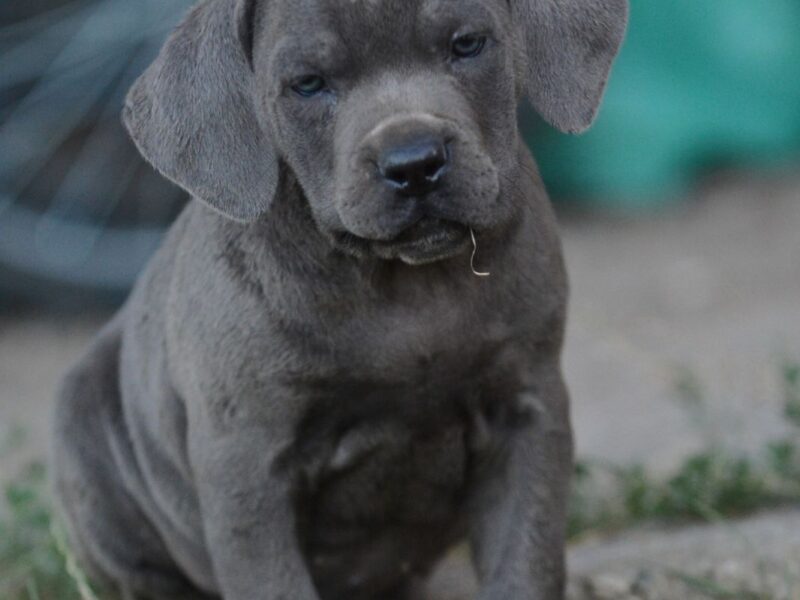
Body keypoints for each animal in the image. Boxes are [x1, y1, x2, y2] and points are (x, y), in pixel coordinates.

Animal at [50, 1, 628, 600]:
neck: (405, 283)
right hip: (85, 436)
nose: (414, 162)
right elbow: (273, 582)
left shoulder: (527, 409)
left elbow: (527, 557)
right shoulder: (248, 461)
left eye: (467, 44)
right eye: (308, 84)